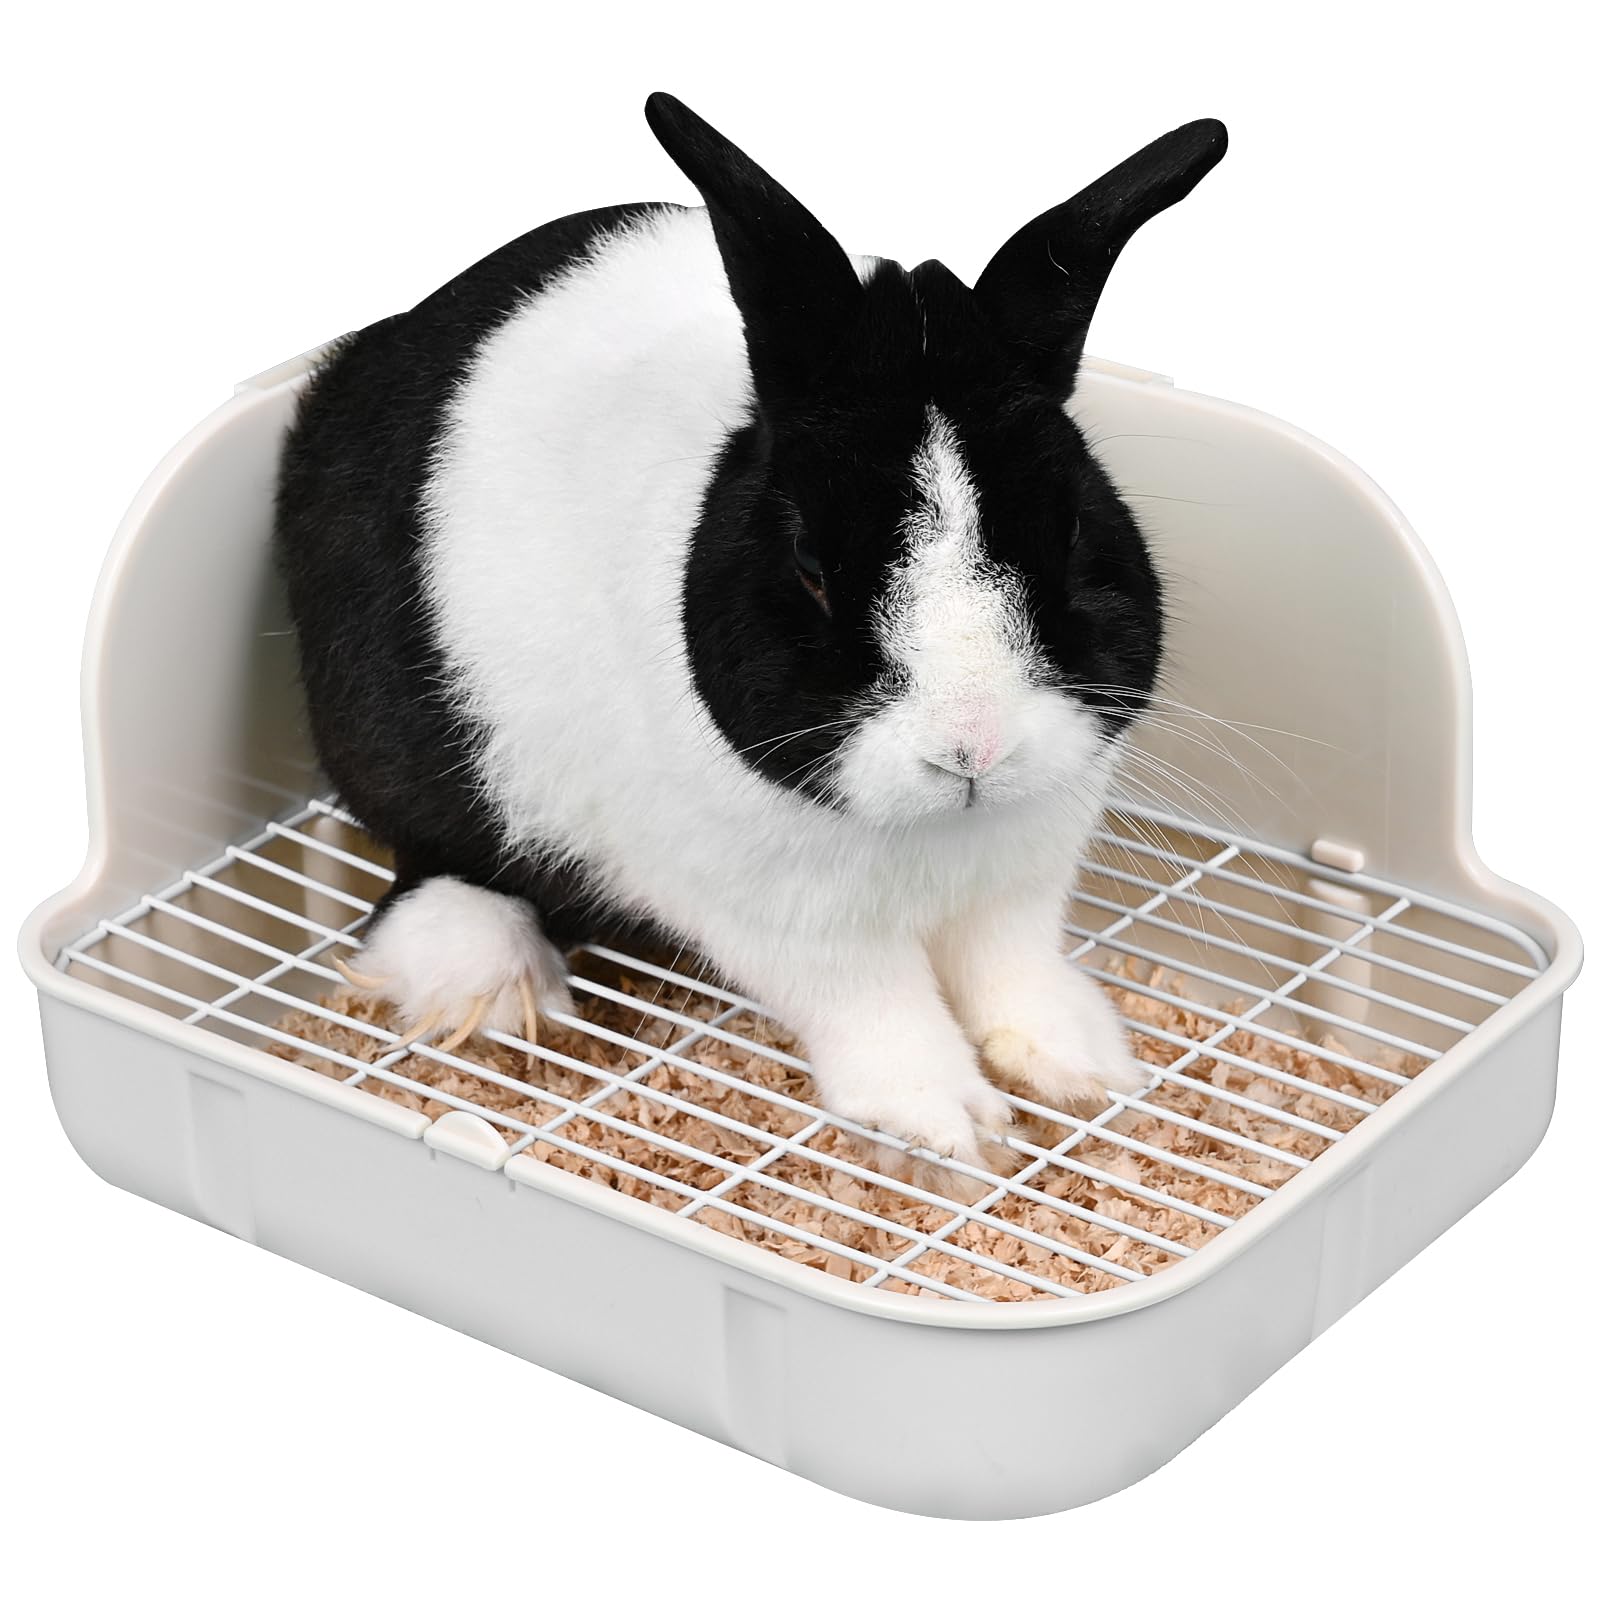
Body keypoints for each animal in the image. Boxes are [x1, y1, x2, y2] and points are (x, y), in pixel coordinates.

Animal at [274, 93, 1227, 1168]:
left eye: (1069, 533)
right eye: (809, 567)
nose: (973, 749)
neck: (936, 833)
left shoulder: (1018, 878)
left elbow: (1009, 969)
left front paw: (1078, 1072)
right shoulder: (780, 914)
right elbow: (875, 1008)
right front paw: (947, 1130)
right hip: (392, 738)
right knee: (427, 865)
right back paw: (490, 988)